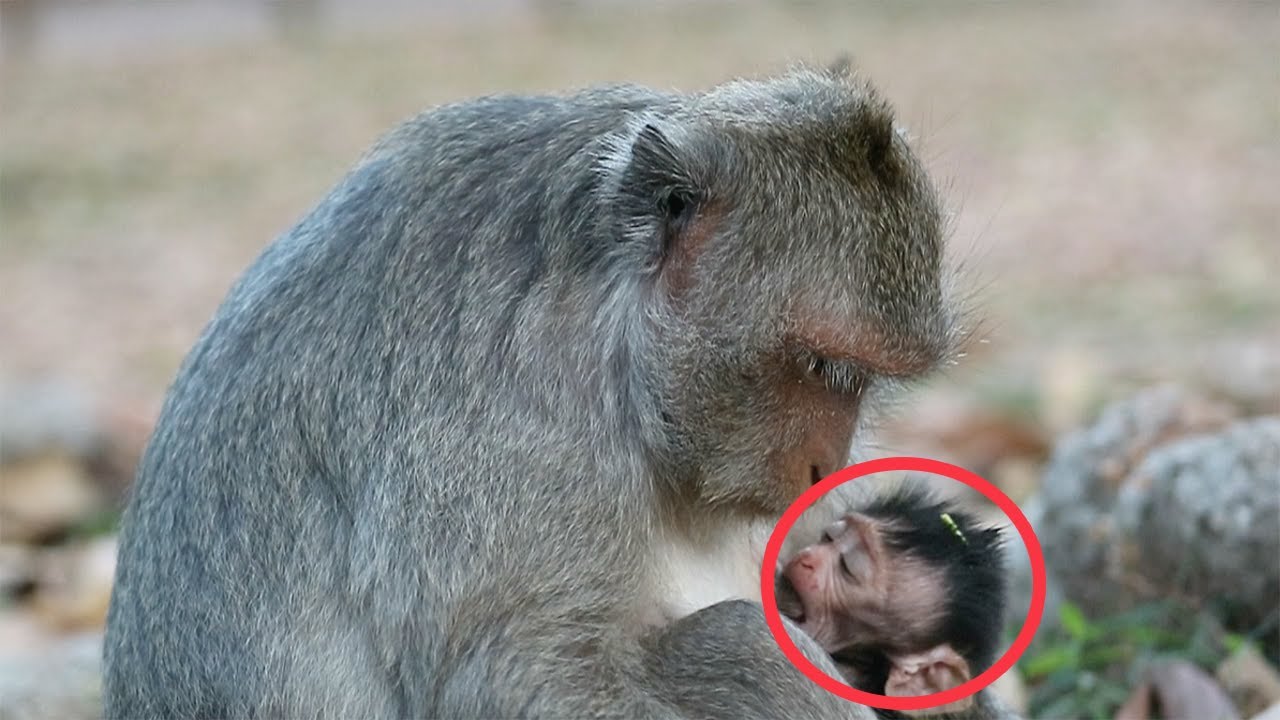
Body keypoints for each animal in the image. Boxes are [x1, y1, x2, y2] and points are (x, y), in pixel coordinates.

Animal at [103, 65, 970, 720]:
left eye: (861, 382)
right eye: (826, 369)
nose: (826, 465)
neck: (617, 343)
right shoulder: (509, 443)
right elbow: (510, 682)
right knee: (739, 639)